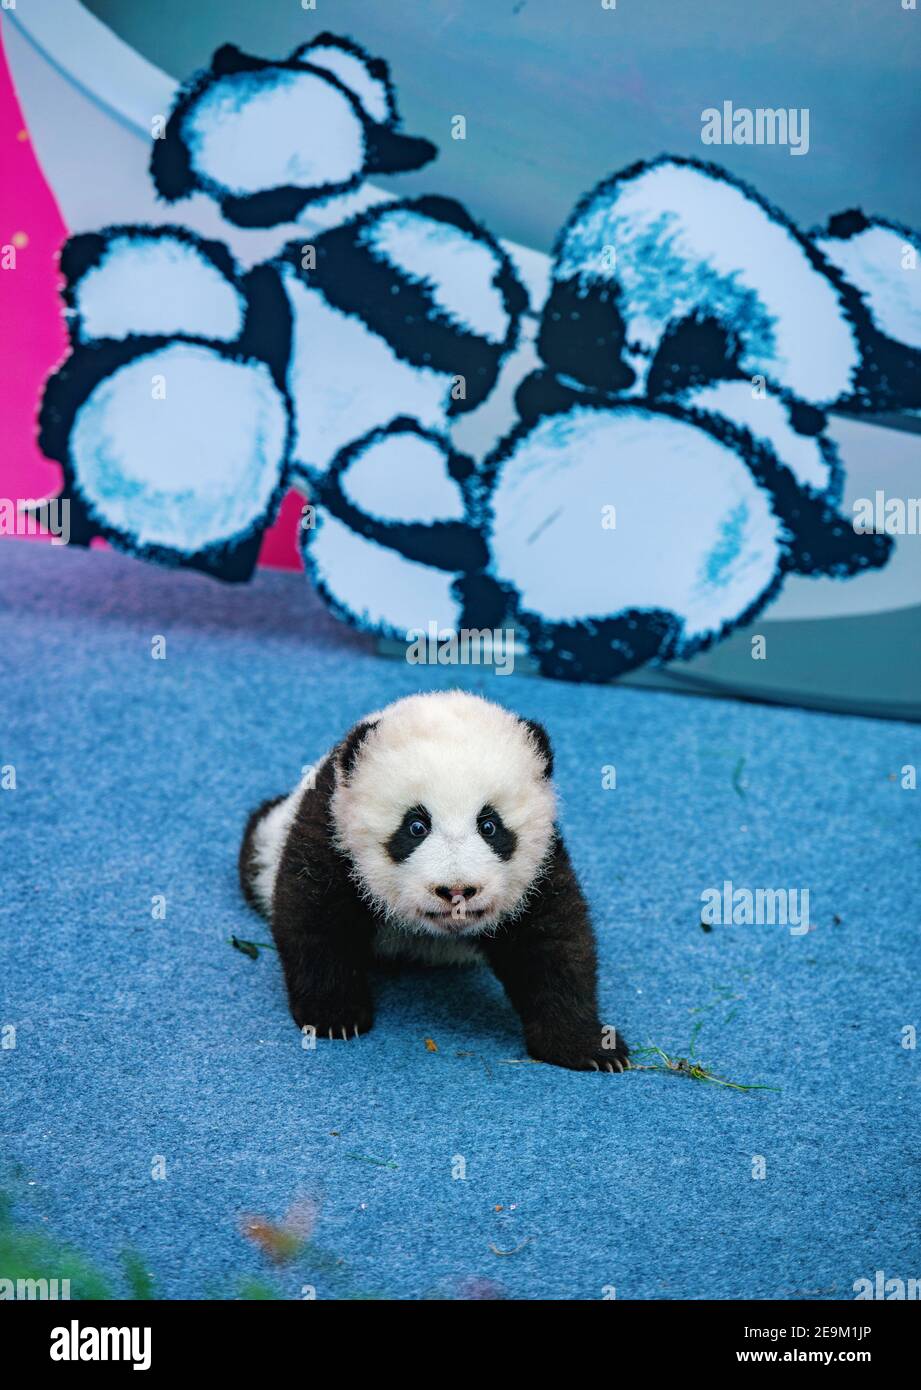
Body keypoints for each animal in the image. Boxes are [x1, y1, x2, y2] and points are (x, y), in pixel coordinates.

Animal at [238, 690, 628, 1073]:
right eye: (416, 826)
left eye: (490, 826)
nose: (457, 891)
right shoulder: (331, 829)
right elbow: (315, 917)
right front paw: (335, 1015)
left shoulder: (540, 865)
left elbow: (555, 943)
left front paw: (591, 1046)